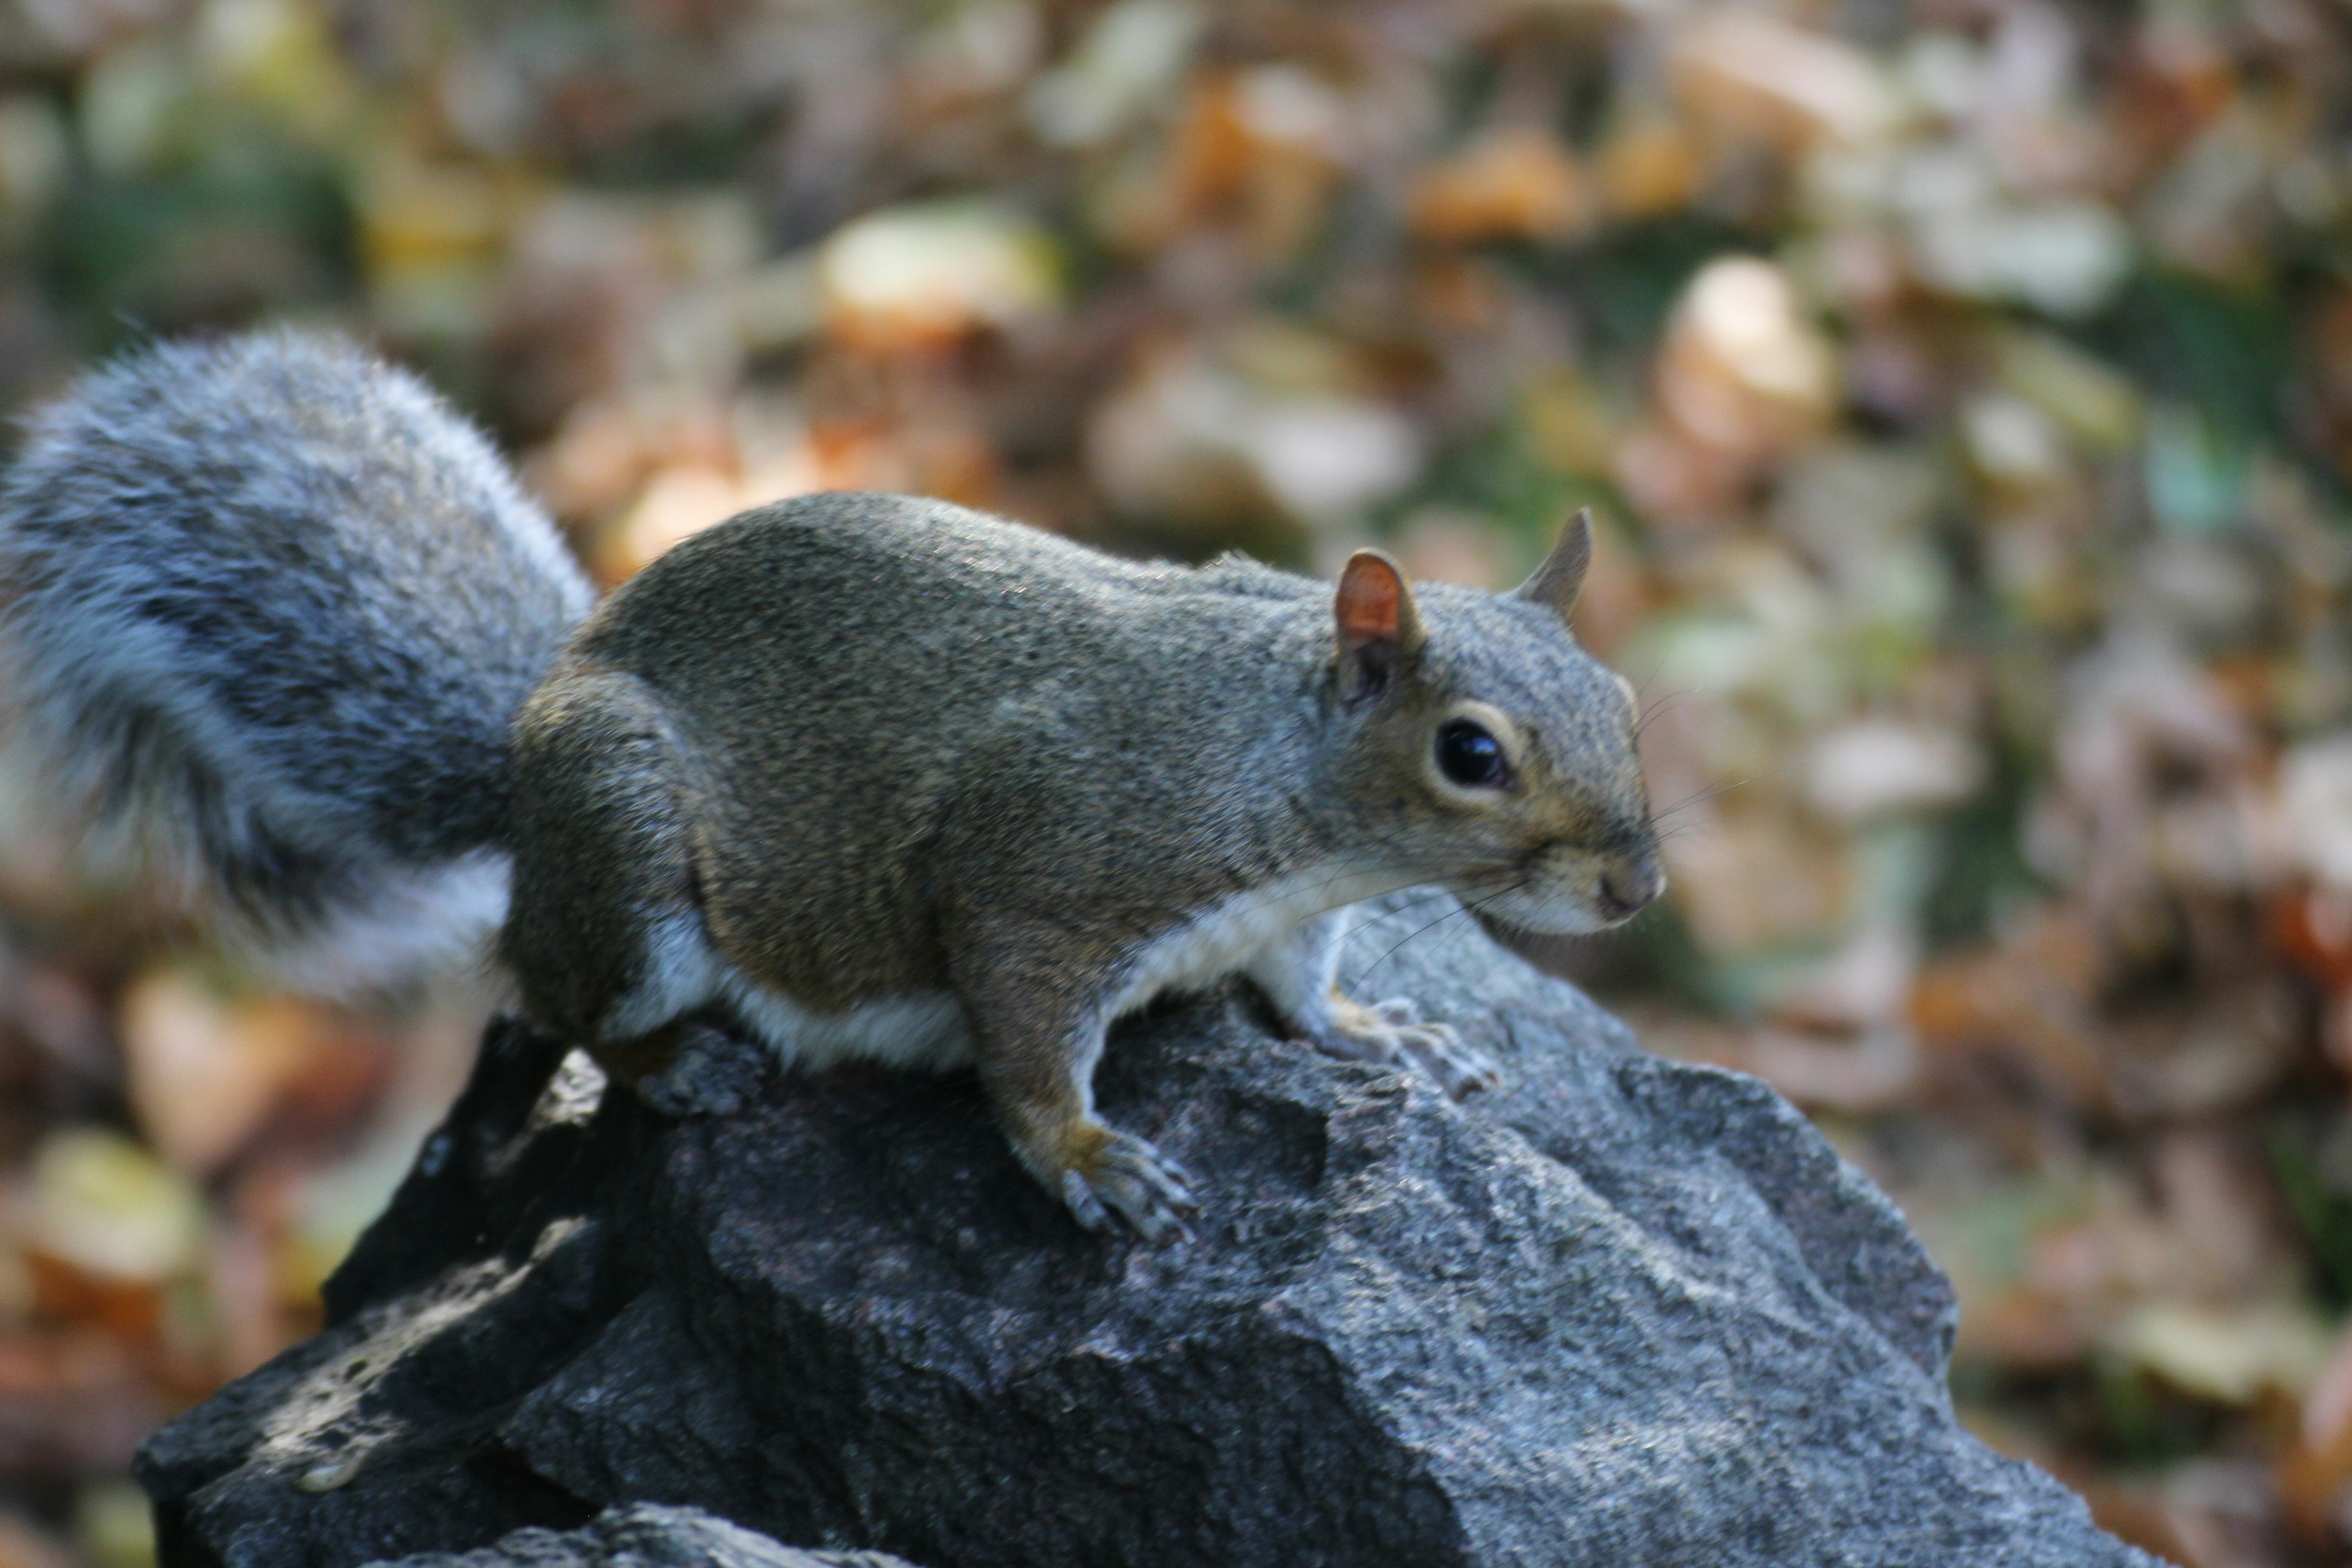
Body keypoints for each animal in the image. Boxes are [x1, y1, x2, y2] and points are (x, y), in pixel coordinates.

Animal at [0, 331, 1663, 1241]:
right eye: (1471, 752)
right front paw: (1089, 1162)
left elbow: (1304, 989)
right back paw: (682, 1067)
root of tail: (529, 751)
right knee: (559, 995)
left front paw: (1381, 1027)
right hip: (627, 857)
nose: (1638, 888)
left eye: (1627, 702)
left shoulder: (1290, 913)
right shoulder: (1044, 874)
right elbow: (1023, 1051)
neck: (1274, 759)